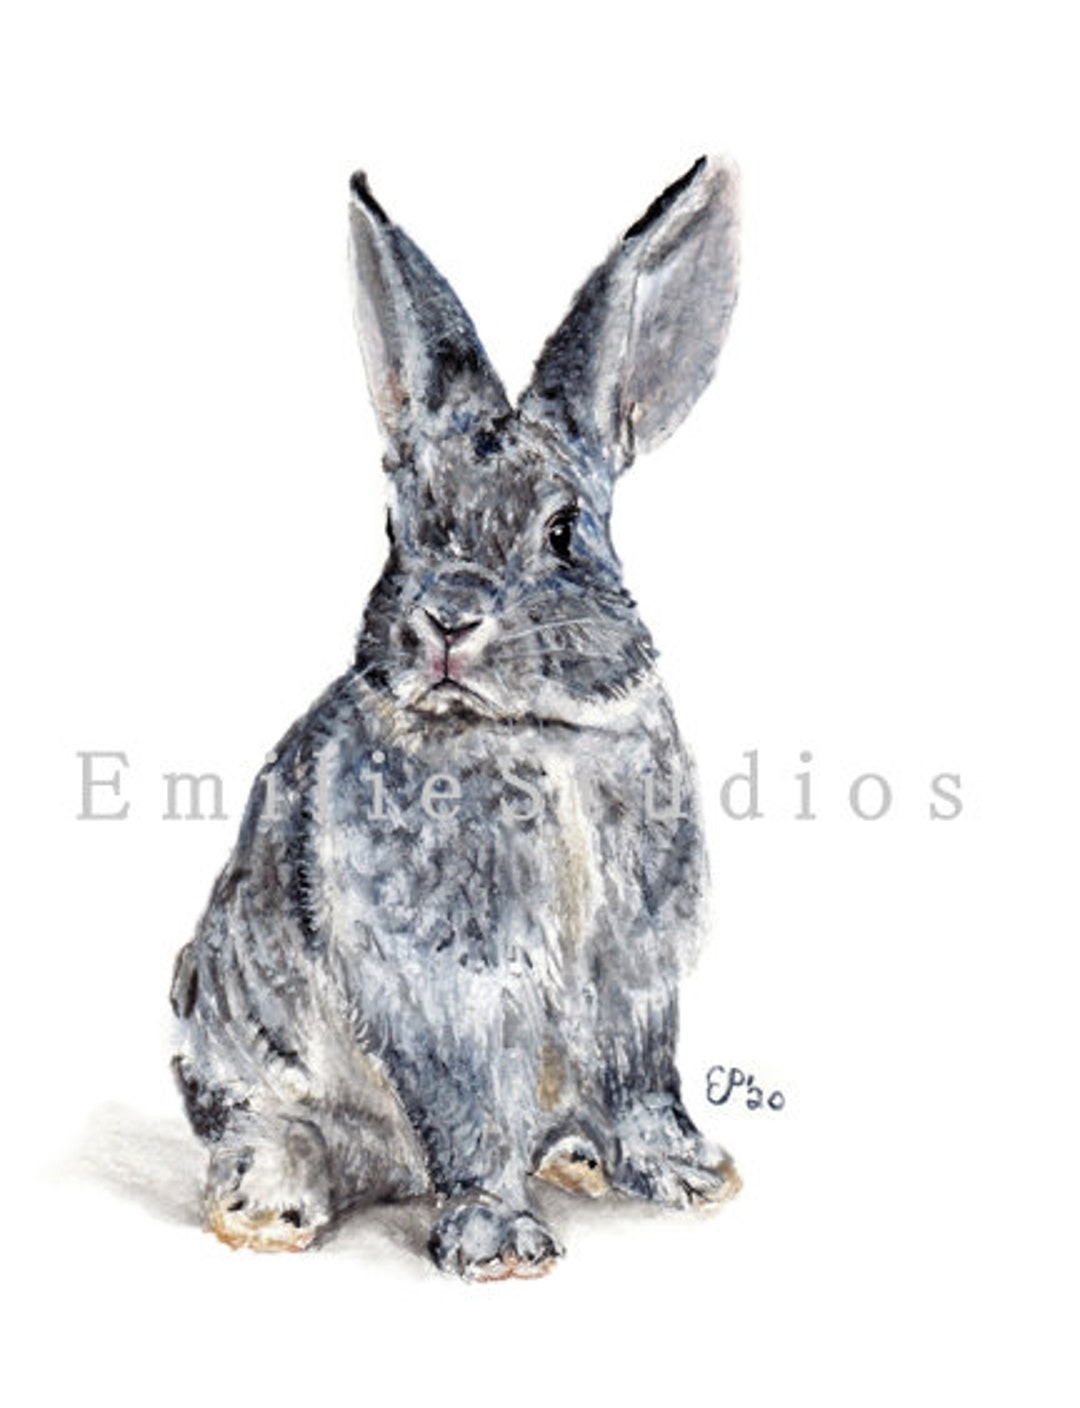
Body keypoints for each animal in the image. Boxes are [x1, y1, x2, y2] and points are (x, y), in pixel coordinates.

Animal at [170, 155, 742, 1280]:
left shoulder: (637, 974)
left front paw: (690, 1176)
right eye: (398, 527)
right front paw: (500, 1246)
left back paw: (577, 1156)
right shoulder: (446, 984)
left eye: (565, 530)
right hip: (236, 1036)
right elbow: (470, 1107)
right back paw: (270, 1206)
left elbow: (643, 1076)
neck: (530, 729)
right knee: (272, 1126)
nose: (447, 619)